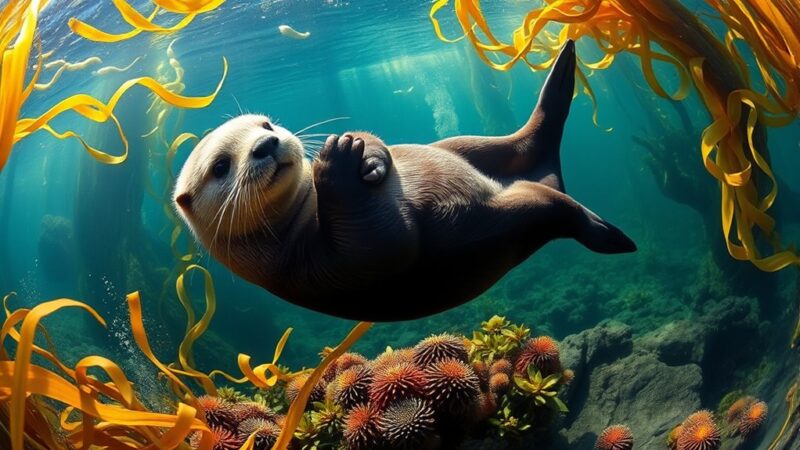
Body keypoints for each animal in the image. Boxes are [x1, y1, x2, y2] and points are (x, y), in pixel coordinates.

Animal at [174, 40, 636, 321]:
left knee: (516, 141)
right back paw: (612, 236)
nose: (267, 143)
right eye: (220, 166)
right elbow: (385, 243)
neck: (304, 218)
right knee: (560, 207)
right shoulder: (324, 269)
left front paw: (360, 153)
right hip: (524, 207)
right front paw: (336, 163)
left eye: (265, 124)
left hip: (465, 143)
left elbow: (380, 143)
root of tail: (548, 171)